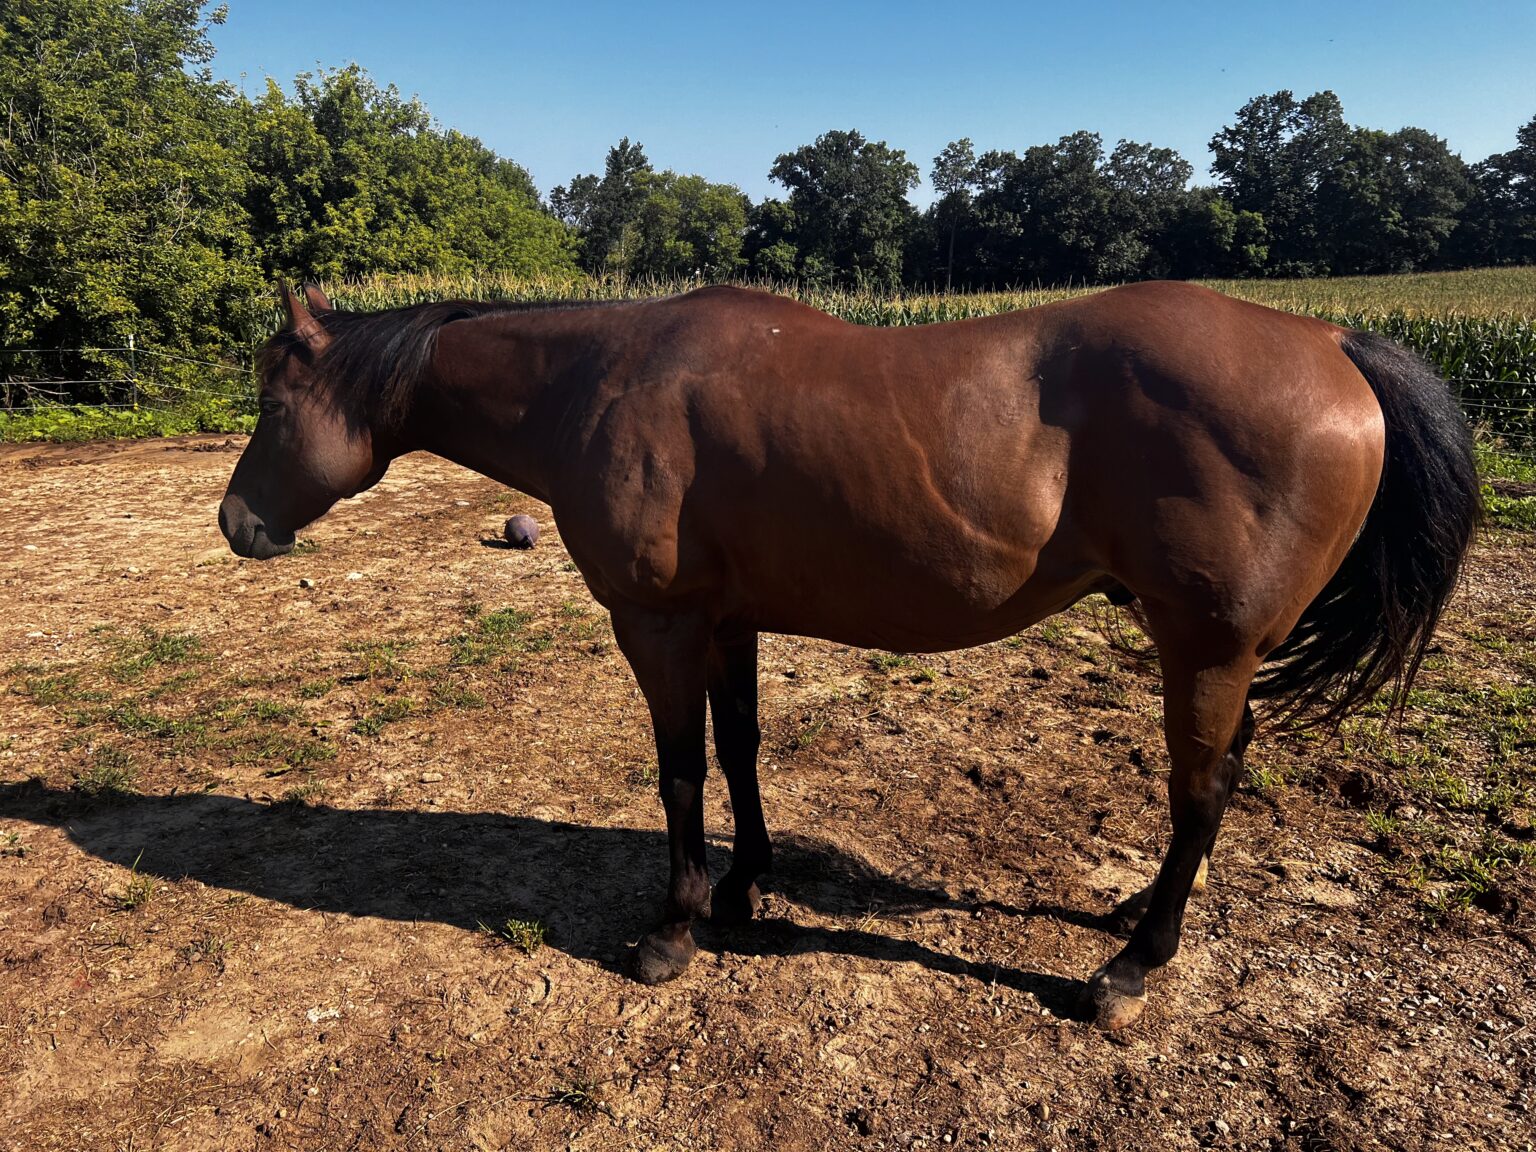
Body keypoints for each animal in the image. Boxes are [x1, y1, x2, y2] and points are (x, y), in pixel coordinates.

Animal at [219, 281, 1479, 1030]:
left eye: (275, 405)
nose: (236, 524)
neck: (605, 382)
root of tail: (1331, 341)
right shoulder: (727, 620)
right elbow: (739, 750)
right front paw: (744, 884)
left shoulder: (659, 623)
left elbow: (679, 773)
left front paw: (674, 928)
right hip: (1218, 654)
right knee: (1218, 780)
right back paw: (1135, 919)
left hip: (1205, 648)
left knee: (1202, 789)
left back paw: (1133, 965)